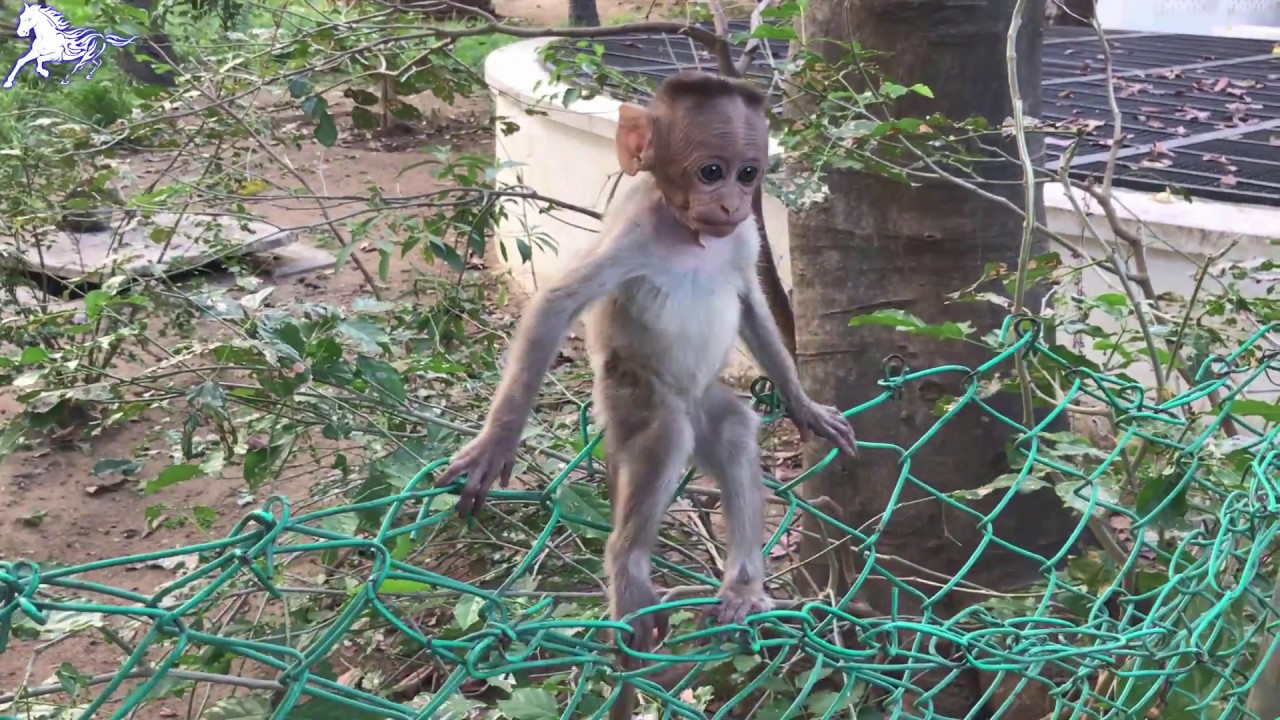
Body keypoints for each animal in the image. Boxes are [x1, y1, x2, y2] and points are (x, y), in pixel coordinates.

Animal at [435, 71, 858, 718]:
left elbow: (748, 301)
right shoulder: (632, 230)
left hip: (698, 397)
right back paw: (628, 569)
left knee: (730, 427)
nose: (733, 203)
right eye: (711, 172)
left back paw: (741, 586)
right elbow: (555, 307)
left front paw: (803, 403)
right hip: (632, 398)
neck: (691, 237)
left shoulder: (744, 240)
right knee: (666, 437)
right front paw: (495, 443)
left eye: (749, 173)